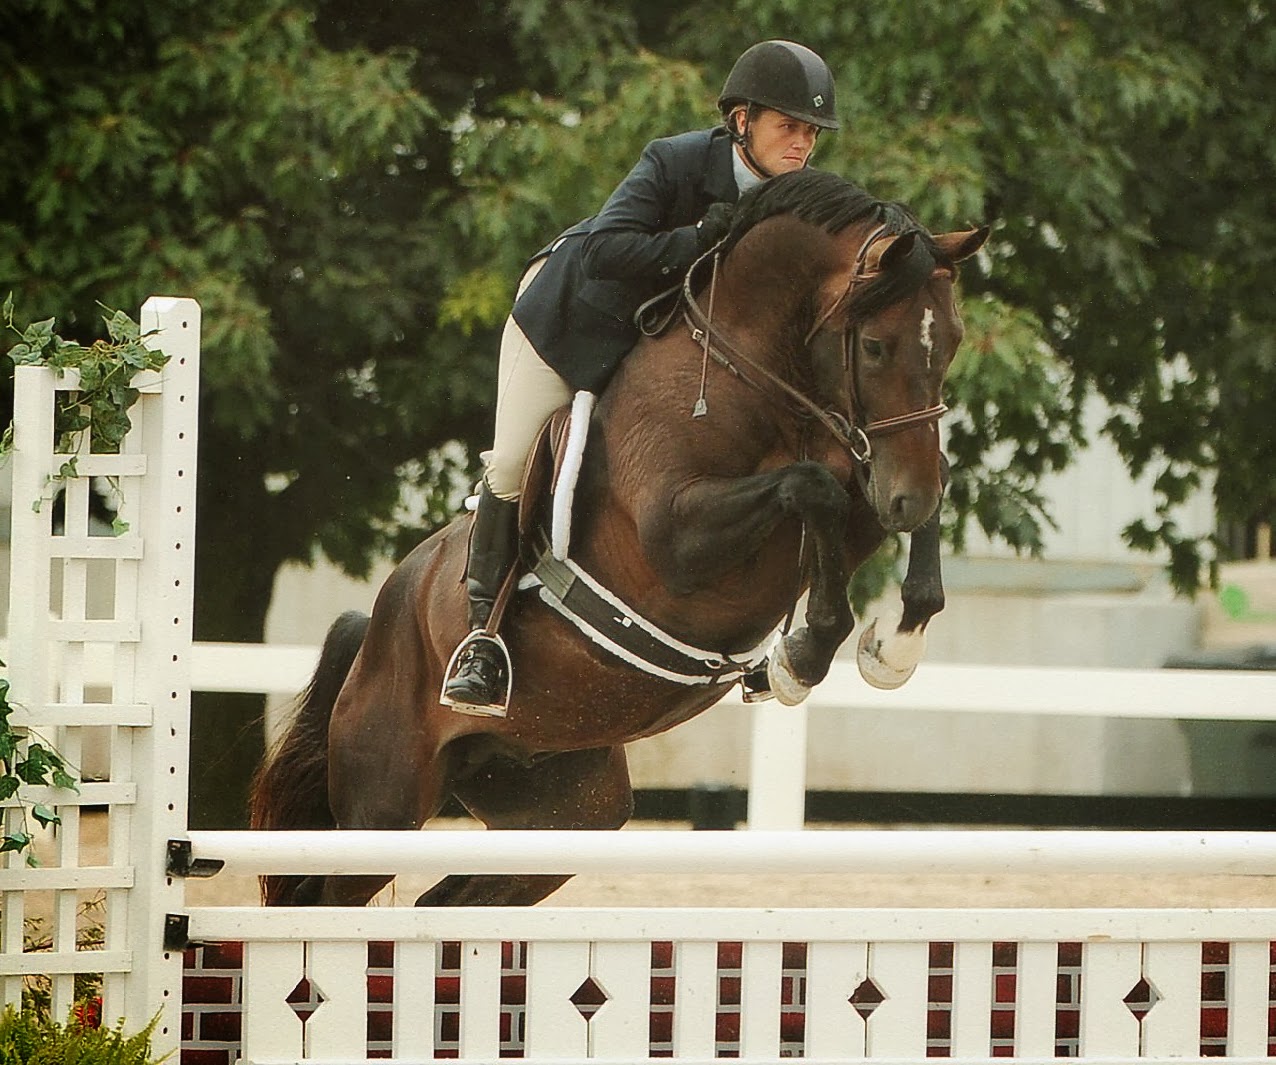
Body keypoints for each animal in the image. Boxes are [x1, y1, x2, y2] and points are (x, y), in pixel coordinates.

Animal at [249, 168, 988, 907]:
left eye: (952, 341)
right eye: (875, 346)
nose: (908, 497)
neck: (754, 377)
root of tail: (375, 625)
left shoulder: (865, 470)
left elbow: (887, 492)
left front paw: (891, 647)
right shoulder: (678, 540)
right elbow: (812, 489)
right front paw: (801, 656)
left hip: (560, 812)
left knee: (442, 904)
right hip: (385, 805)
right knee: (329, 896)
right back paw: (476, 667)